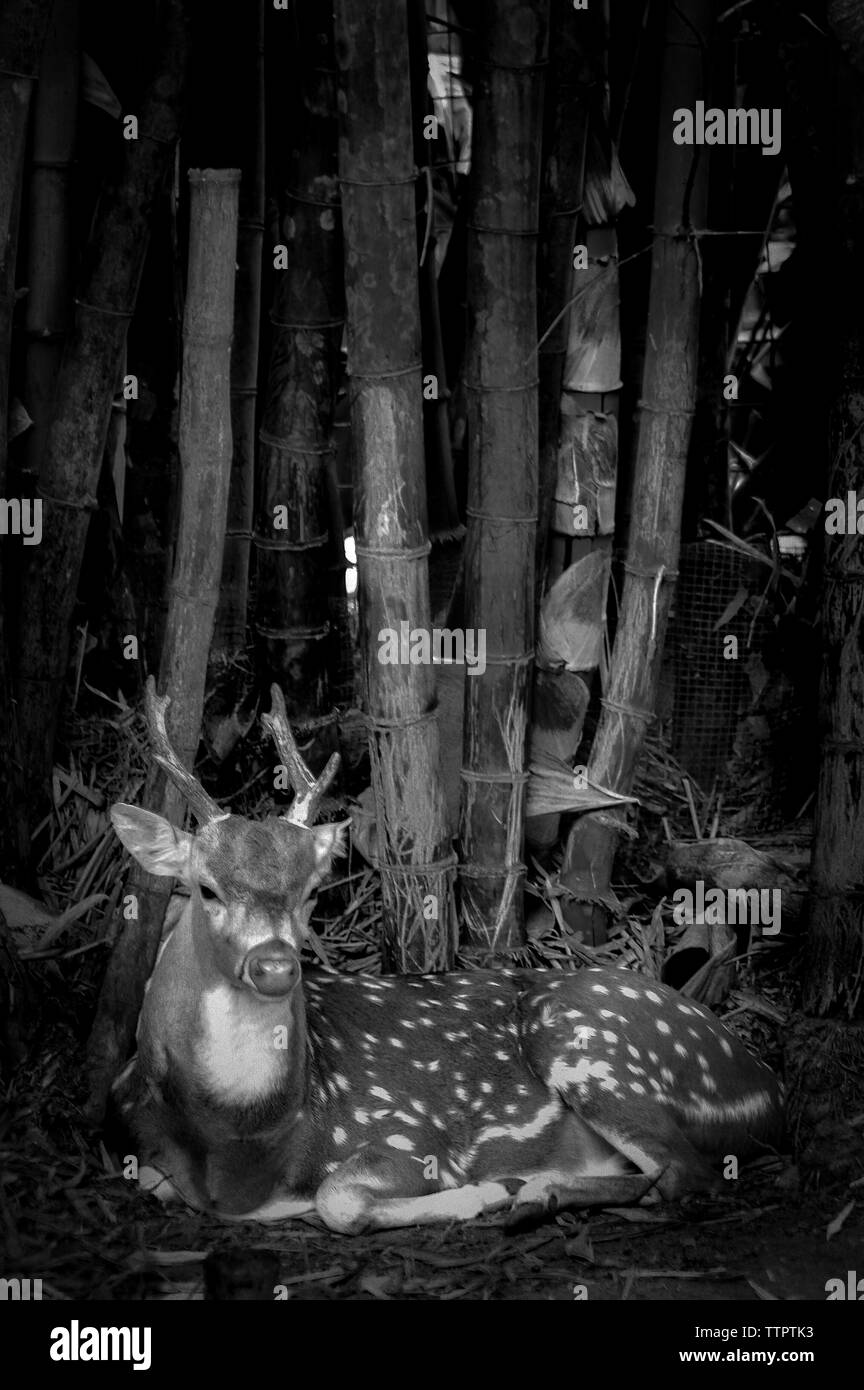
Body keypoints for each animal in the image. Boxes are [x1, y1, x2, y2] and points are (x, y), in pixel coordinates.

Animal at [107, 678, 785, 1235]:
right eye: (206, 888)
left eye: (311, 890)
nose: (274, 965)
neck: (239, 1143)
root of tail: (769, 1087)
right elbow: (156, 1183)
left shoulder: (407, 1134)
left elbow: (337, 1198)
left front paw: (482, 1193)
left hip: (597, 1050)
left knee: (684, 1172)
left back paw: (530, 1193)